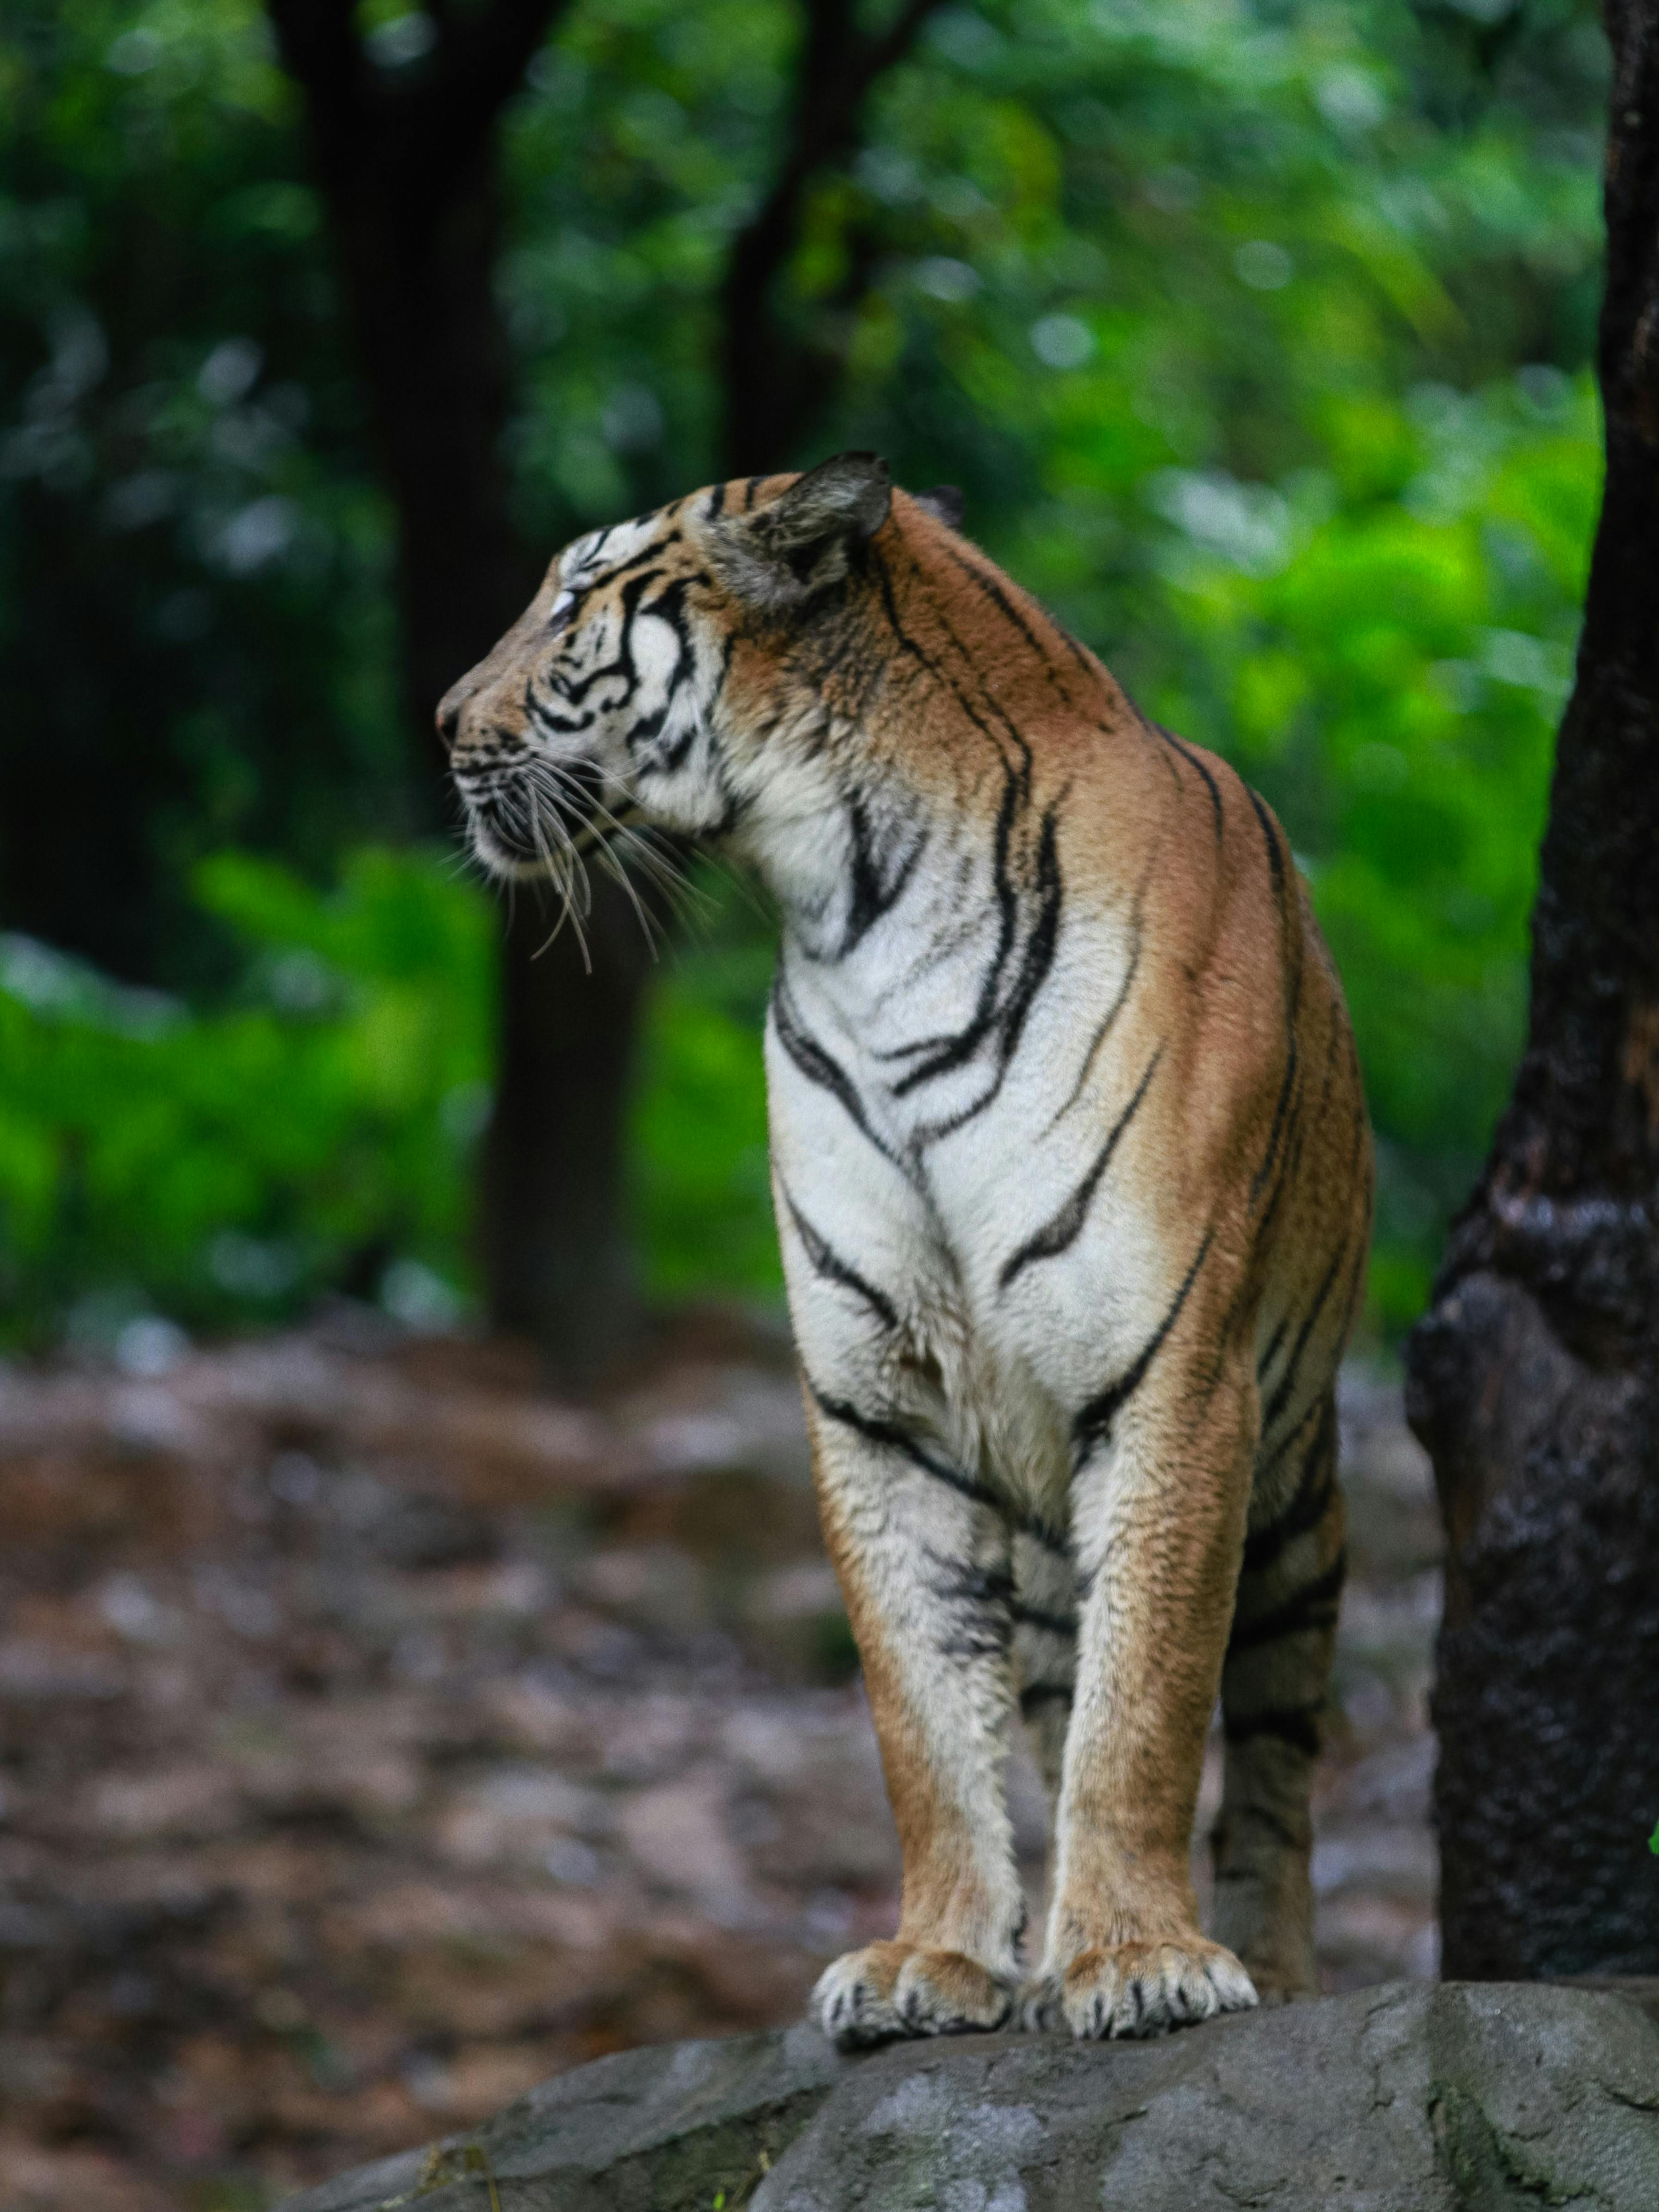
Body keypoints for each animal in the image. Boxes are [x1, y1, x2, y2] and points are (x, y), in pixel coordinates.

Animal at [438, 453, 1373, 2044]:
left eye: (574, 599)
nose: (442, 726)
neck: (852, 914)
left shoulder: (1176, 1380)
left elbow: (1149, 1700)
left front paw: (1140, 1961)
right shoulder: (878, 1403)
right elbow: (922, 1712)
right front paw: (935, 1961)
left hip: (1299, 1494)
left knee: (1273, 1751)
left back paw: (1273, 1961)